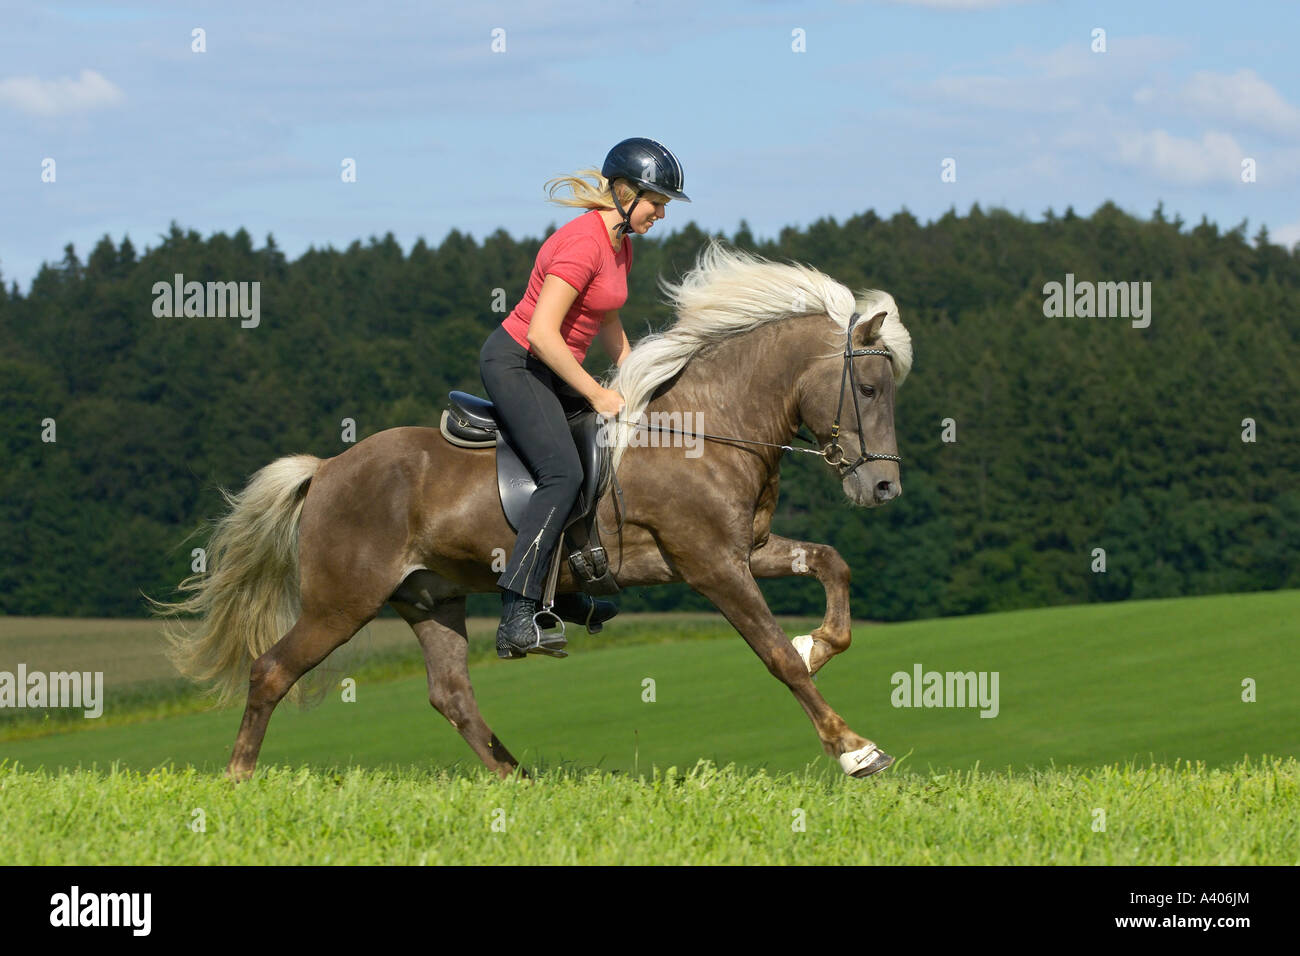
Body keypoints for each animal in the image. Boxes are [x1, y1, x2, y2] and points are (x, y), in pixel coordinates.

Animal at [151, 238, 913, 782]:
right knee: (271, 671)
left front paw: (822, 643)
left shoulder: (745, 550)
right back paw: (237, 780)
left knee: (451, 695)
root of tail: (328, 470)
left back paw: (518, 780)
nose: (883, 490)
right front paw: (856, 749)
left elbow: (832, 565)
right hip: (342, 602)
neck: (703, 427)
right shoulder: (711, 565)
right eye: (869, 388)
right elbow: (776, 656)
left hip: (429, 597)